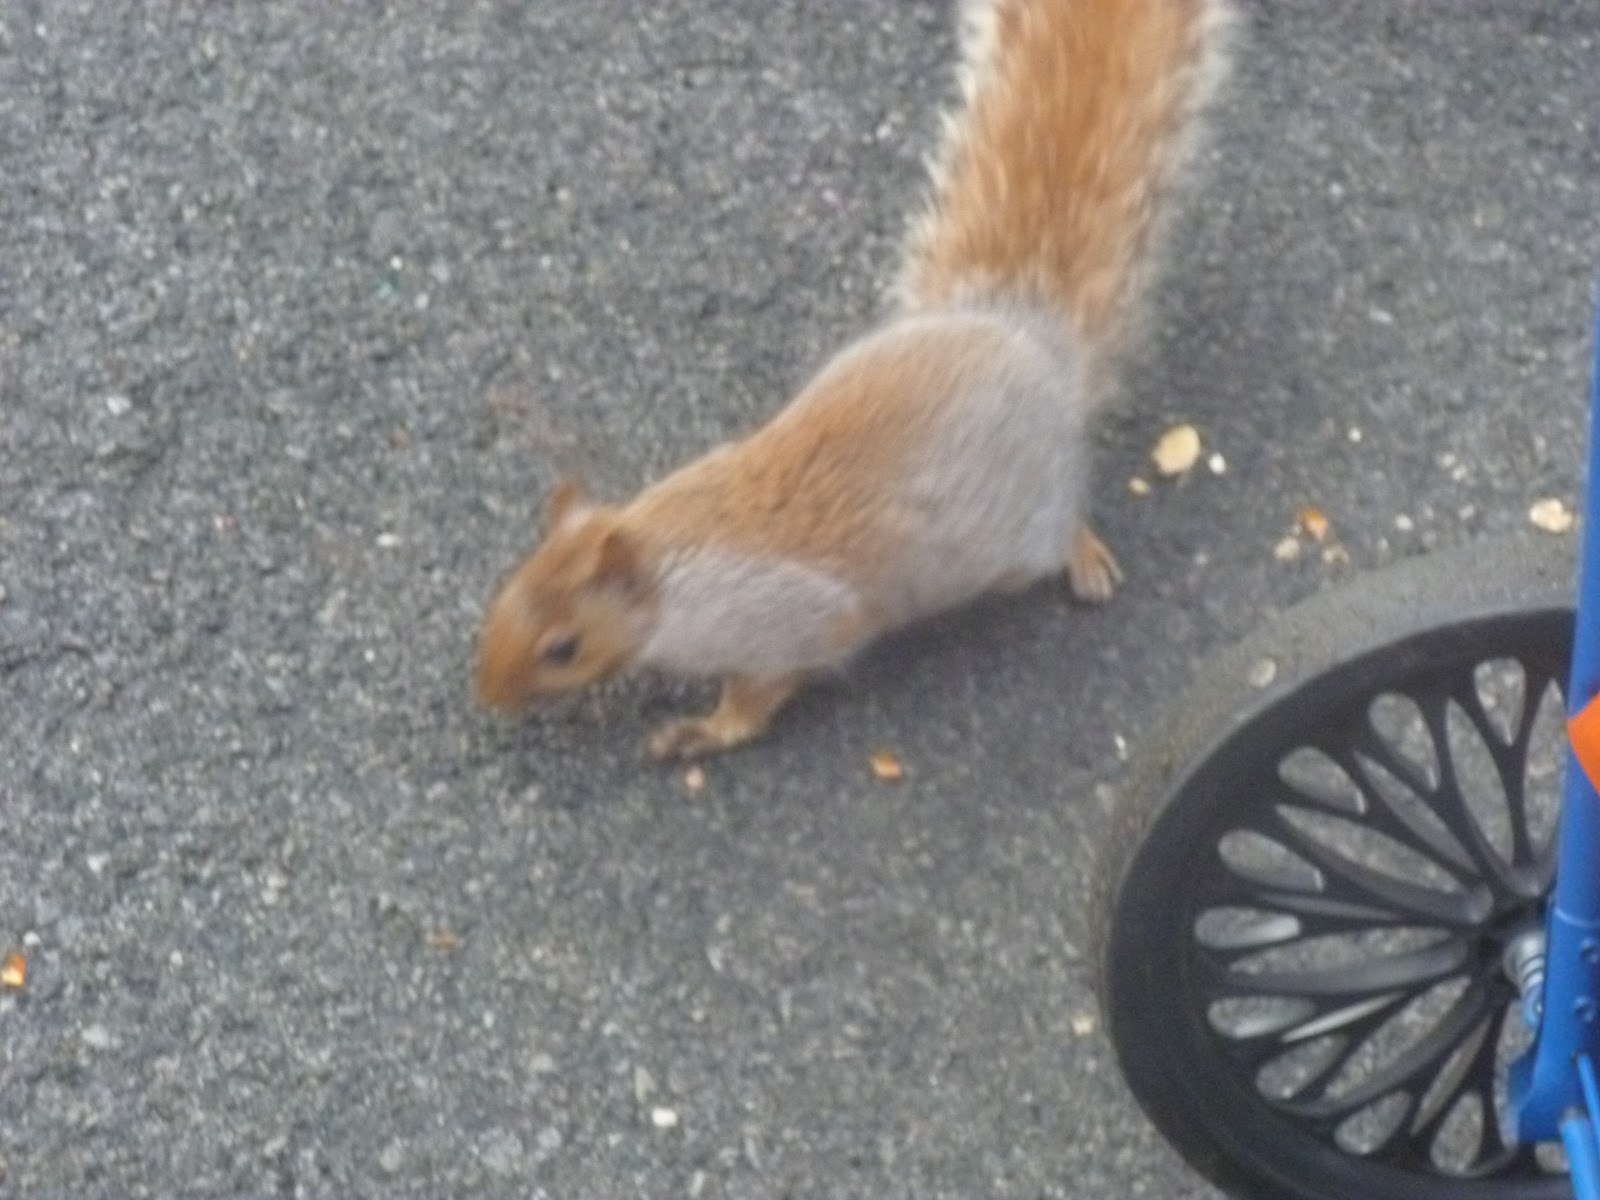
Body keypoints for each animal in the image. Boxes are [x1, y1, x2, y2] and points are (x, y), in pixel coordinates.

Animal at [476, 0, 1236, 759]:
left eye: (564, 648)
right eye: (505, 591)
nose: (487, 696)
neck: (667, 565)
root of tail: (1030, 338)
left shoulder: (788, 627)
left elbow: (762, 694)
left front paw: (702, 731)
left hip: (1022, 535)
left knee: (1060, 527)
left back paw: (1084, 558)